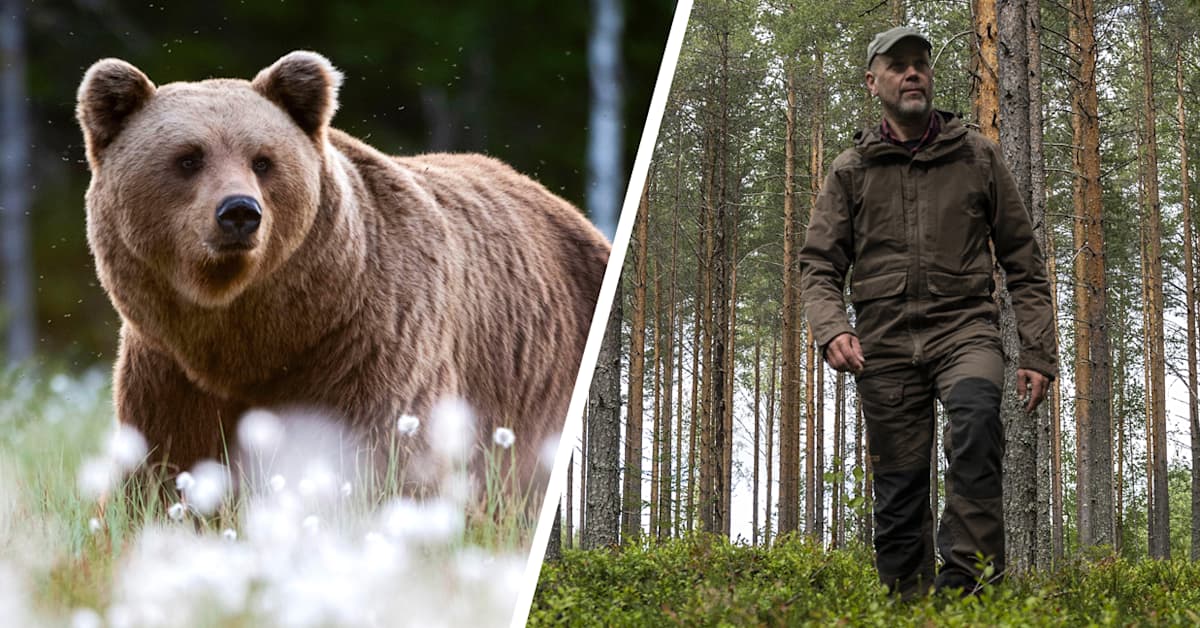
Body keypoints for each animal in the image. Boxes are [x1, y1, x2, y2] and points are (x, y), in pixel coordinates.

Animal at [76, 51, 609, 500]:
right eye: (188, 157)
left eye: (263, 160)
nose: (239, 212)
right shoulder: (169, 370)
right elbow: (165, 465)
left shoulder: (369, 343)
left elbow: (386, 456)